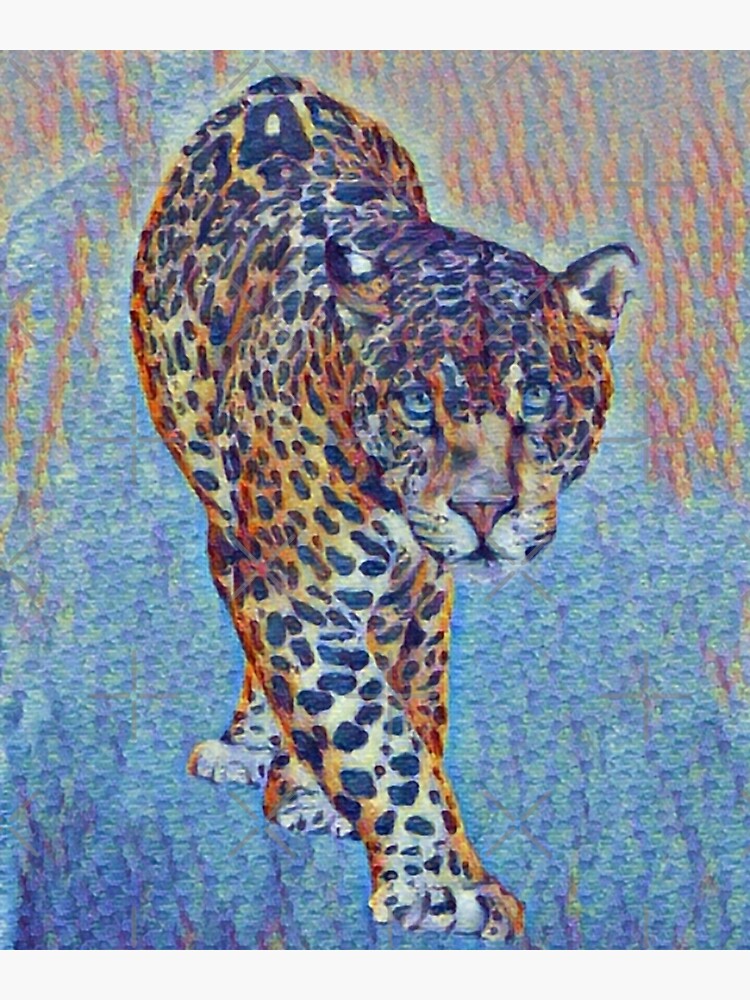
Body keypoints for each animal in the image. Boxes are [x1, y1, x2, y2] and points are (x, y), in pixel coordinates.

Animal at [131, 75, 637, 941]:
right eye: (415, 402)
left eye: (537, 396)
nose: (483, 510)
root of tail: (276, 83)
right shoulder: (296, 591)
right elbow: (374, 733)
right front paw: (443, 886)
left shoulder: (412, 589)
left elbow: (399, 706)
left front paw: (335, 802)